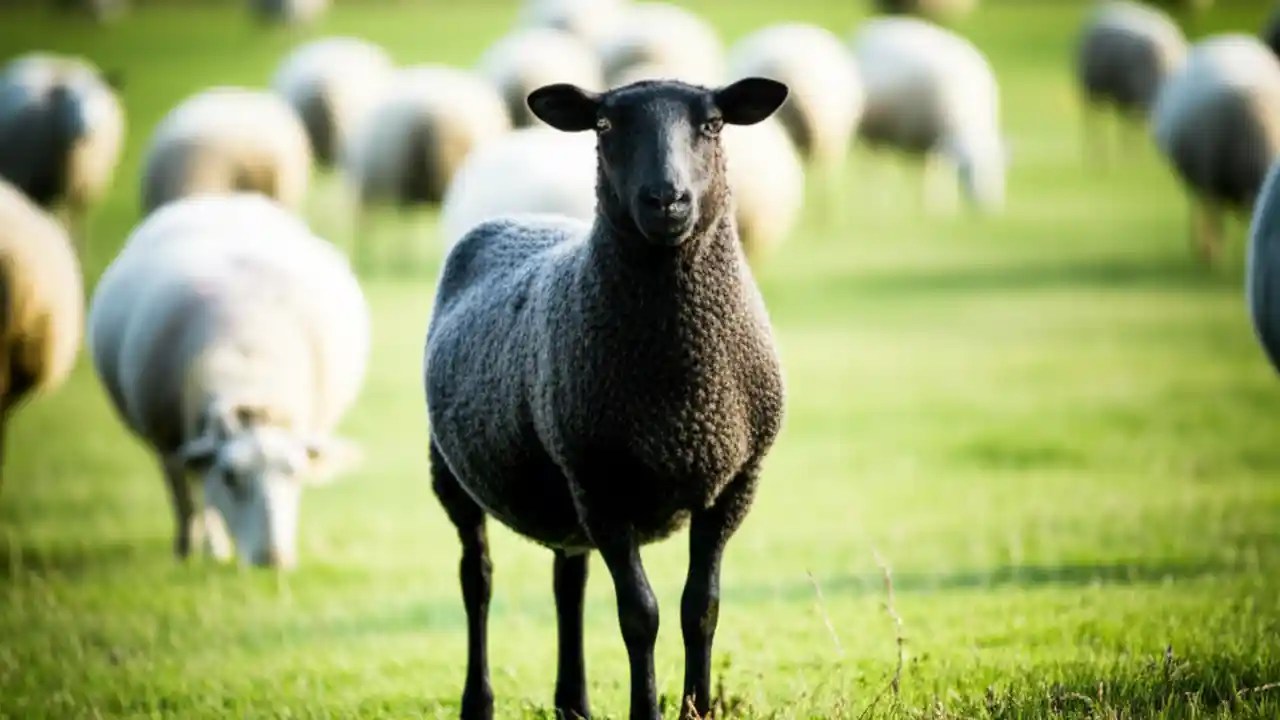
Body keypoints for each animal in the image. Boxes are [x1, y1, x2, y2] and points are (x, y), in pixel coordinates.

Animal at [89, 193, 368, 568]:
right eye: (230, 476)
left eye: (294, 473)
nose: (273, 561)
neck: (247, 368)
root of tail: (223, 198)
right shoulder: (170, 444)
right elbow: (190, 503)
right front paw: (194, 552)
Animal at [851, 16, 1007, 213]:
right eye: (965, 169)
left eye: (999, 170)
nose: (987, 208)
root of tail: (880, 22)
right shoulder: (925, 137)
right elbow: (931, 173)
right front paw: (930, 207)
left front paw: (942, 206)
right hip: (871, 128)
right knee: (871, 165)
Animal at [1151, 35, 1280, 262]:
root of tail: (1225, 38)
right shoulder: (1210, 175)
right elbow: (1215, 218)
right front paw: (1215, 256)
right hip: (1198, 172)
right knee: (1198, 205)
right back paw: (1202, 248)